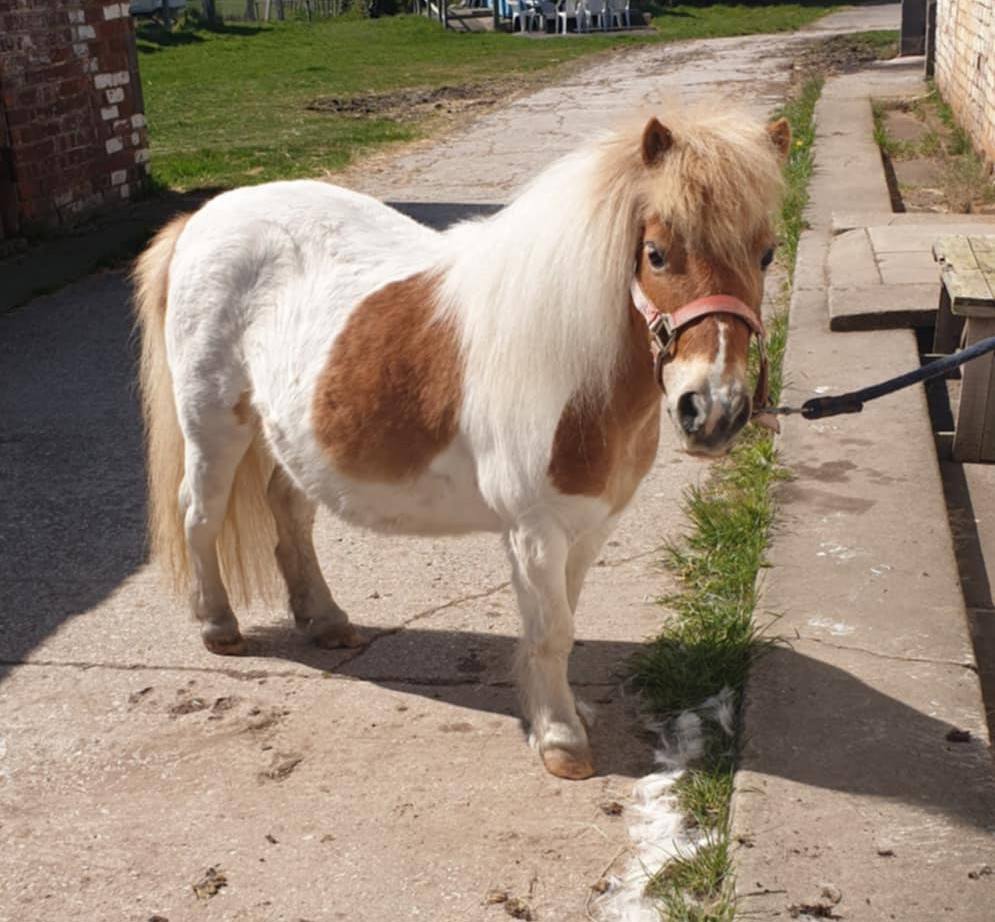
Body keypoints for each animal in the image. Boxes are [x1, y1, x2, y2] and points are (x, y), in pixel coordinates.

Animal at [134, 111, 790, 780]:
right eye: (656, 253)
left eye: (766, 253)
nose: (714, 410)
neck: (573, 368)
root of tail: (202, 218)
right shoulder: (535, 532)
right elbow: (552, 630)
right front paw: (562, 742)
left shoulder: (589, 529)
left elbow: (562, 620)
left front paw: (555, 714)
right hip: (215, 427)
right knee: (200, 513)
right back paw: (219, 625)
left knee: (288, 513)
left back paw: (326, 620)